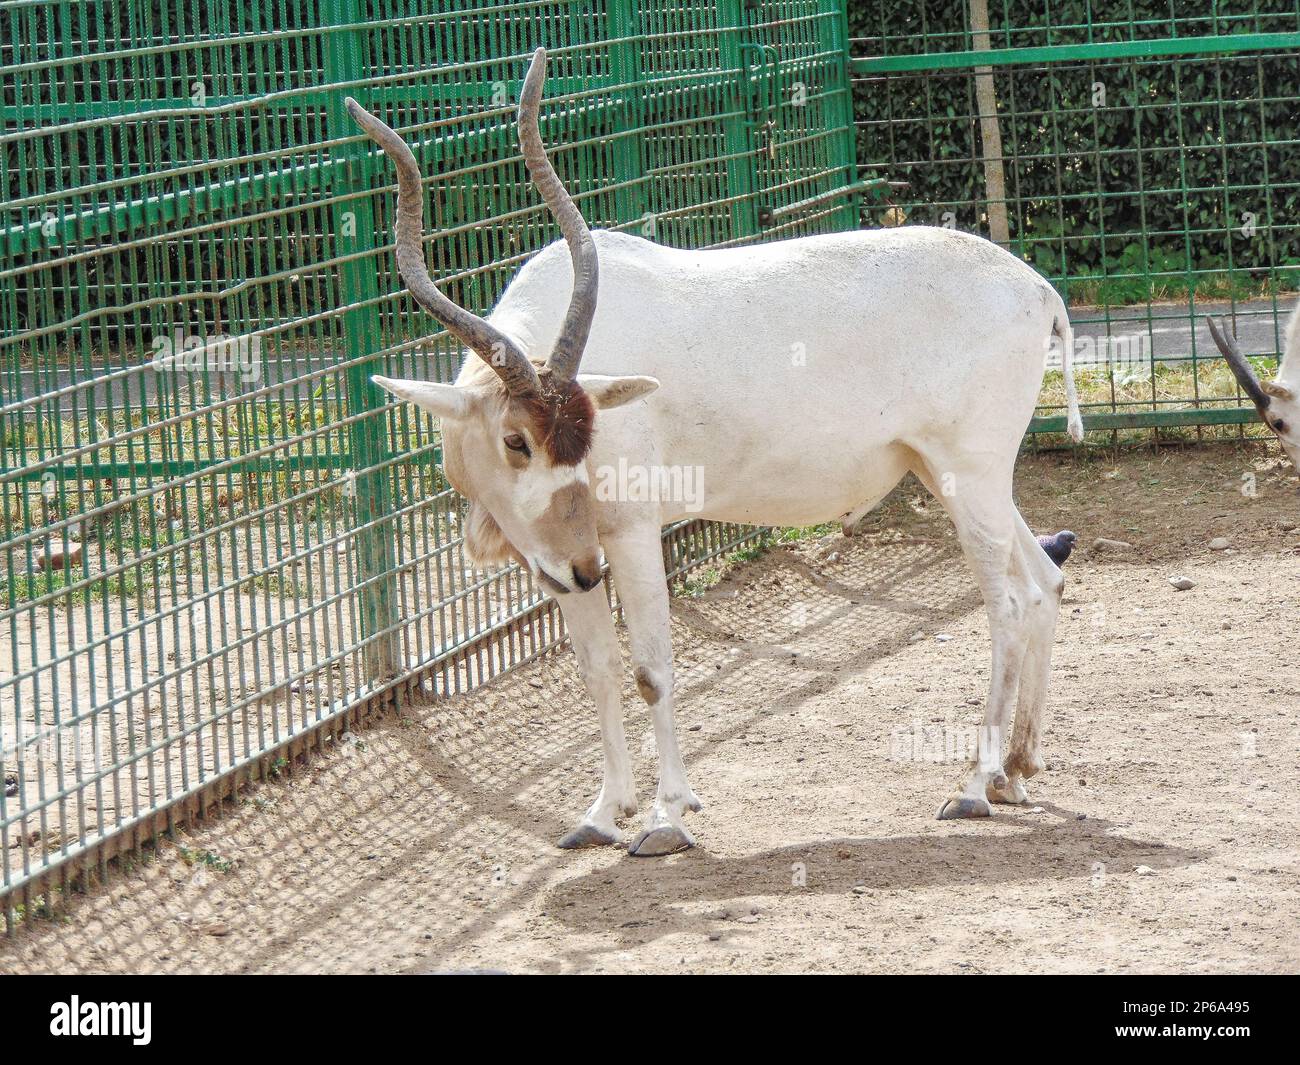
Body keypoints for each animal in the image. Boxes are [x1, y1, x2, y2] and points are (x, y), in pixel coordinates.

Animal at [347, 48, 1085, 856]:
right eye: (516, 438)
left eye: (576, 434)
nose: (585, 571)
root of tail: (1038, 290)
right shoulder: (555, 557)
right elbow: (597, 668)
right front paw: (601, 813)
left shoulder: (630, 534)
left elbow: (651, 669)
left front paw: (666, 818)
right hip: (956, 476)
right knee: (1043, 580)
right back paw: (1017, 769)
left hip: (967, 477)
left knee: (1007, 602)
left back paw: (974, 787)